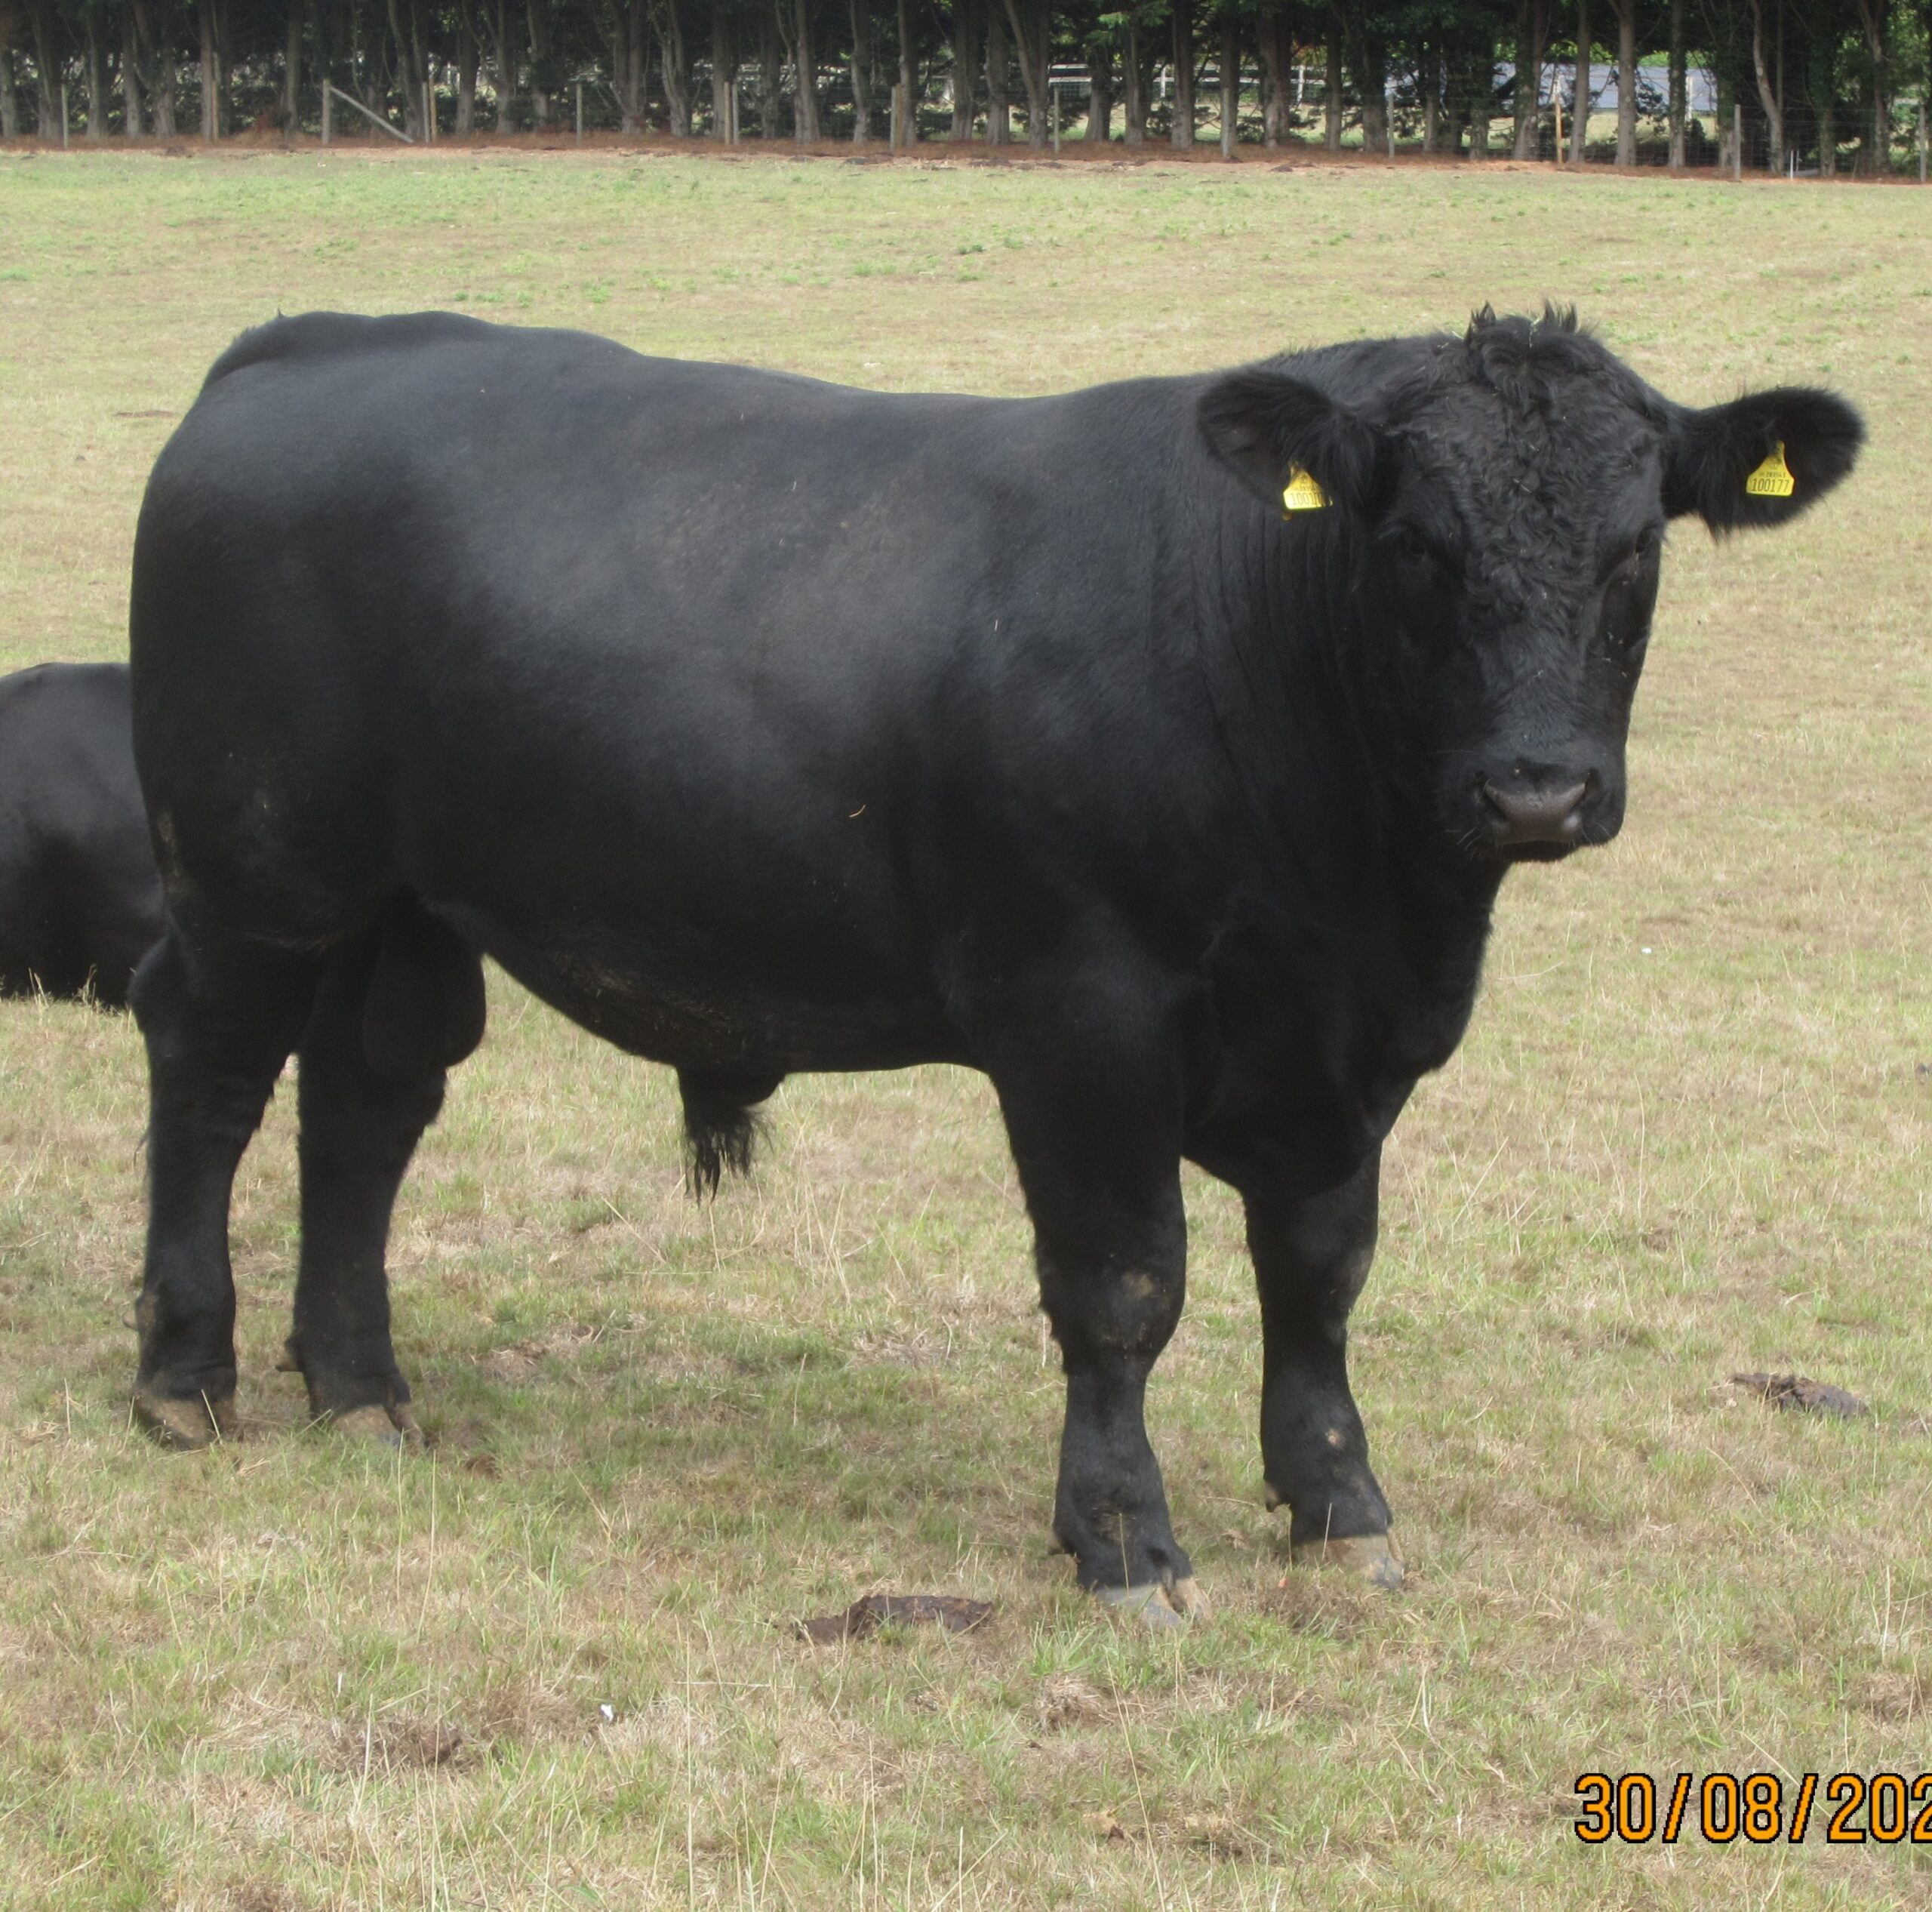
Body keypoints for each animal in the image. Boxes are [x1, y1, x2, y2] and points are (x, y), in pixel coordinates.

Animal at [123, 308, 1861, 1621]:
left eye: (1636, 550)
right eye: (1420, 547)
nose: (1535, 790)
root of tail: (297, 351)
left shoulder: (1341, 1052)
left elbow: (1319, 1277)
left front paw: (1339, 1507)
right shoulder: (1080, 1017)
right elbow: (1124, 1287)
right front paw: (1126, 1543)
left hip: (397, 909)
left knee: (363, 1108)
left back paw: (360, 1392)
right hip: (252, 876)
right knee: (207, 1083)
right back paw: (184, 1377)